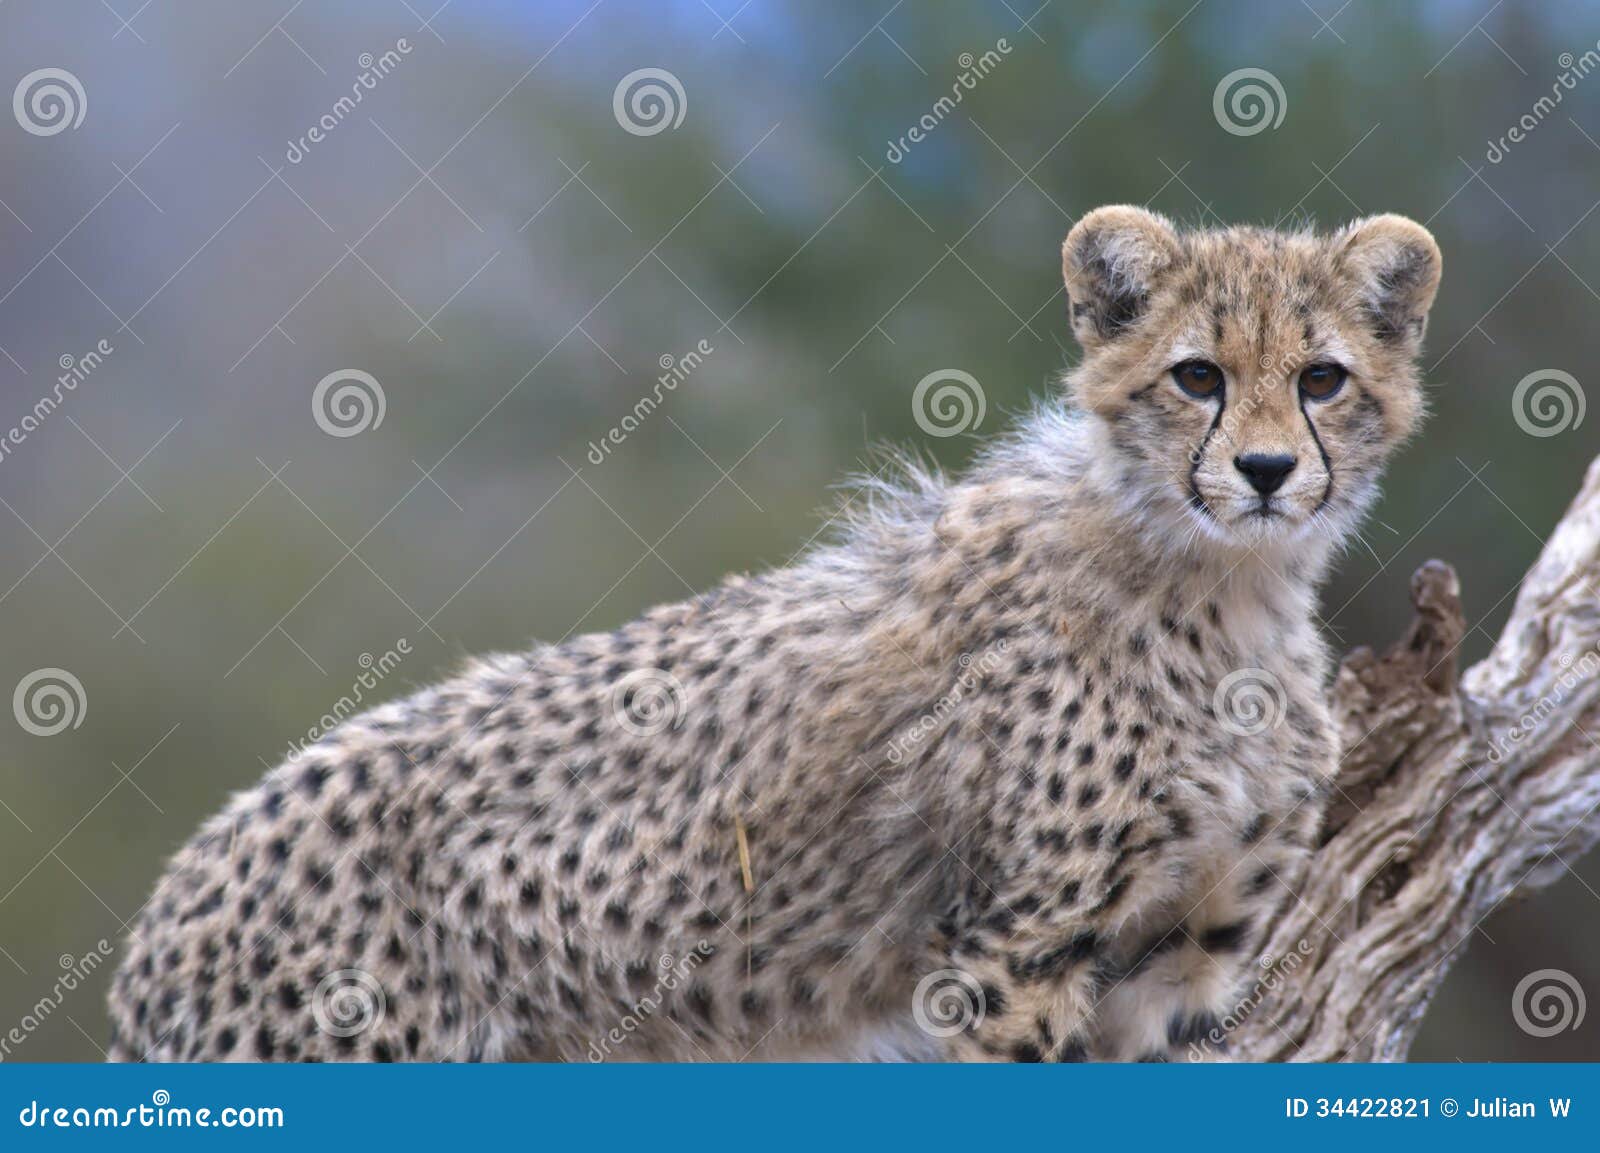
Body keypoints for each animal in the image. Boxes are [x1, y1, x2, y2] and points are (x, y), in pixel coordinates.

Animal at [107, 205, 1441, 1062]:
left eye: (1320, 379)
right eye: (1197, 376)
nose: (1265, 471)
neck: (1225, 587)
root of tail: (172, 891)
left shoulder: (1179, 963)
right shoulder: (1011, 957)